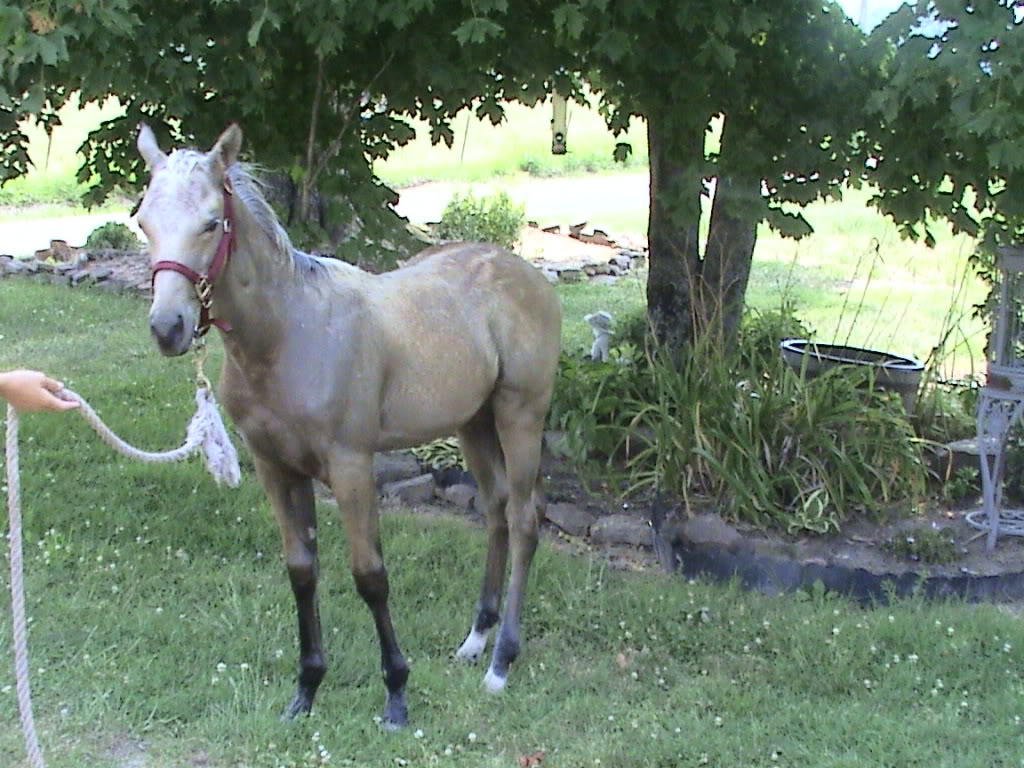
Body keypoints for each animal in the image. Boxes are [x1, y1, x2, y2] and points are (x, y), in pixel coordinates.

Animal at [135, 123, 562, 727]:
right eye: (143, 220)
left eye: (211, 222)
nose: (168, 328)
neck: (288, 334)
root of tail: (529, 274)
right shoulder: (276, 466)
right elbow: (301, 570)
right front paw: (306, 690)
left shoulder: (352, 466)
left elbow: (370, 576)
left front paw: (397, 695)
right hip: (473, 423)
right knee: (499, 508)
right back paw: (477, 639)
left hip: (519, 413)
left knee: (525, 517)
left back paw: (502, 662)